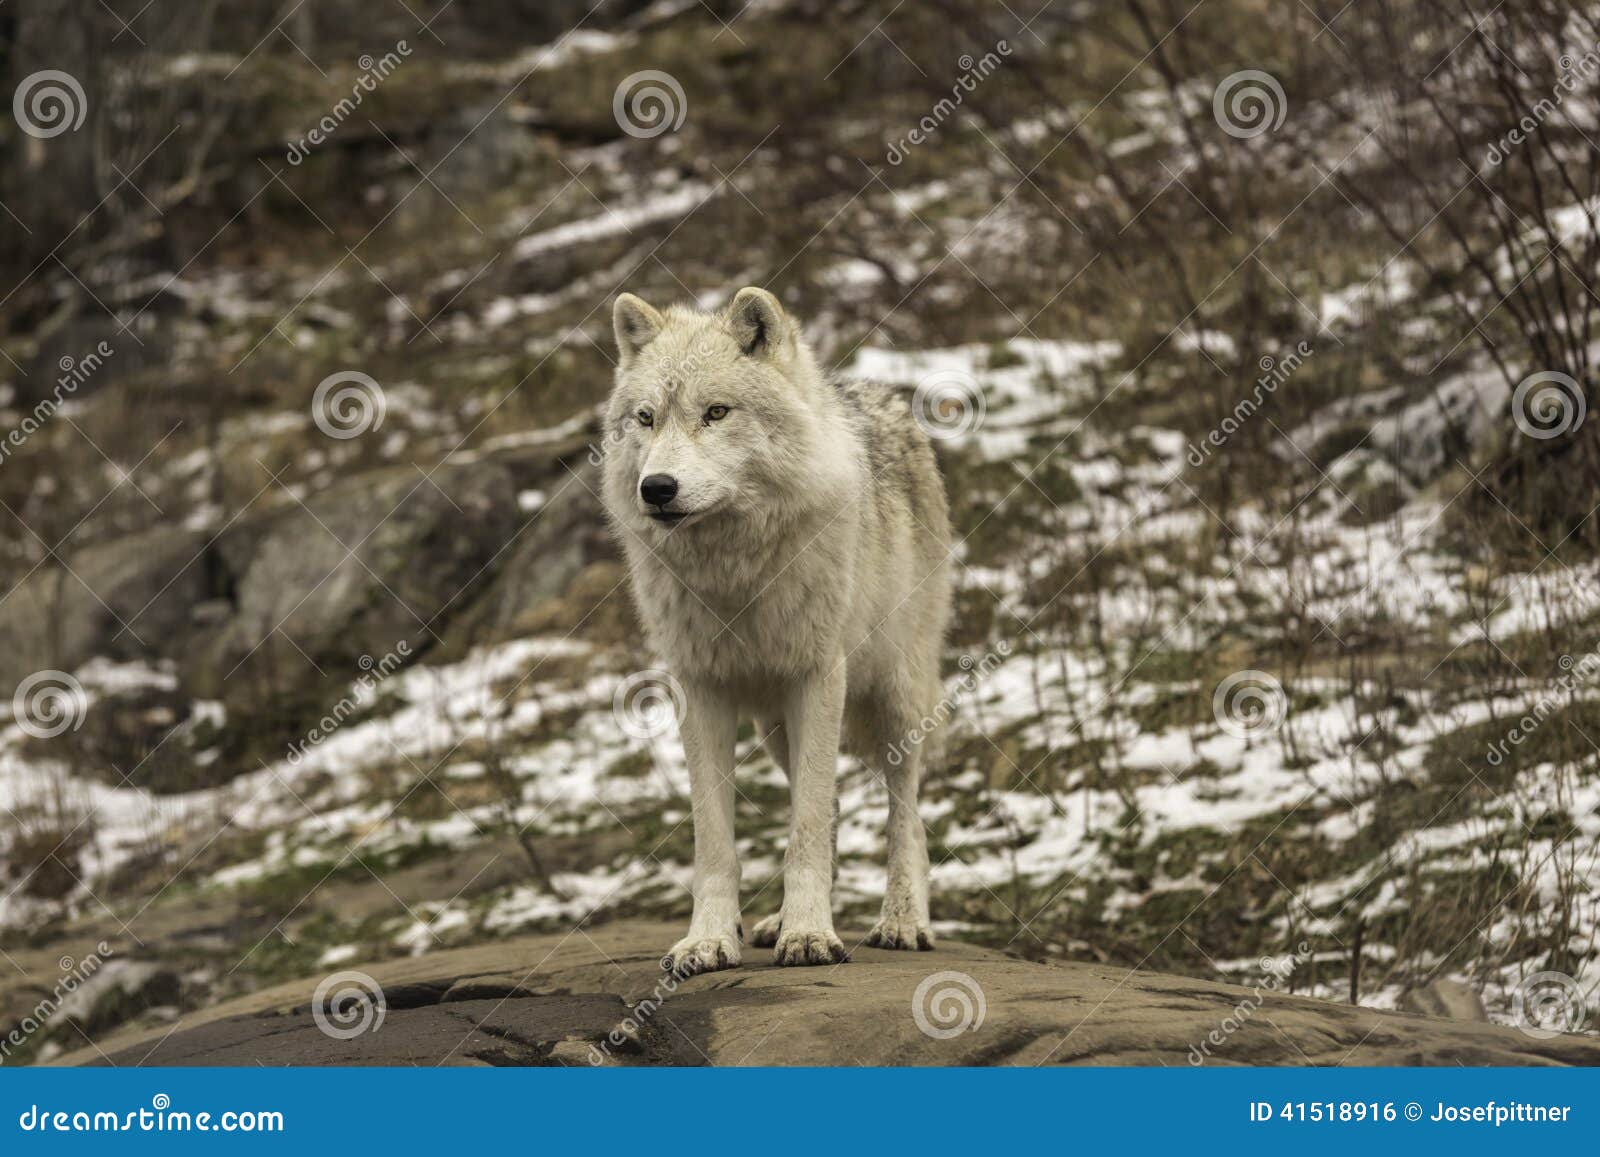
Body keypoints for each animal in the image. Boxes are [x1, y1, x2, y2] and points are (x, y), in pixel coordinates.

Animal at [600, 287, 954, 970]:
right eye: (647, 418)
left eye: (715, 412)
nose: (657, 488)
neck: (734, 572)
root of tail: (882, 394)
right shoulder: (701, 688)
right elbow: (716, 841)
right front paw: (711, 940)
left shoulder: (817, 676)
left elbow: (807, 827)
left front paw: (811, 936)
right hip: (772, 728)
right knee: (836, 801)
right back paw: (777, 921)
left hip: (896, 696)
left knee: (906, 812)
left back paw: (902, 922)